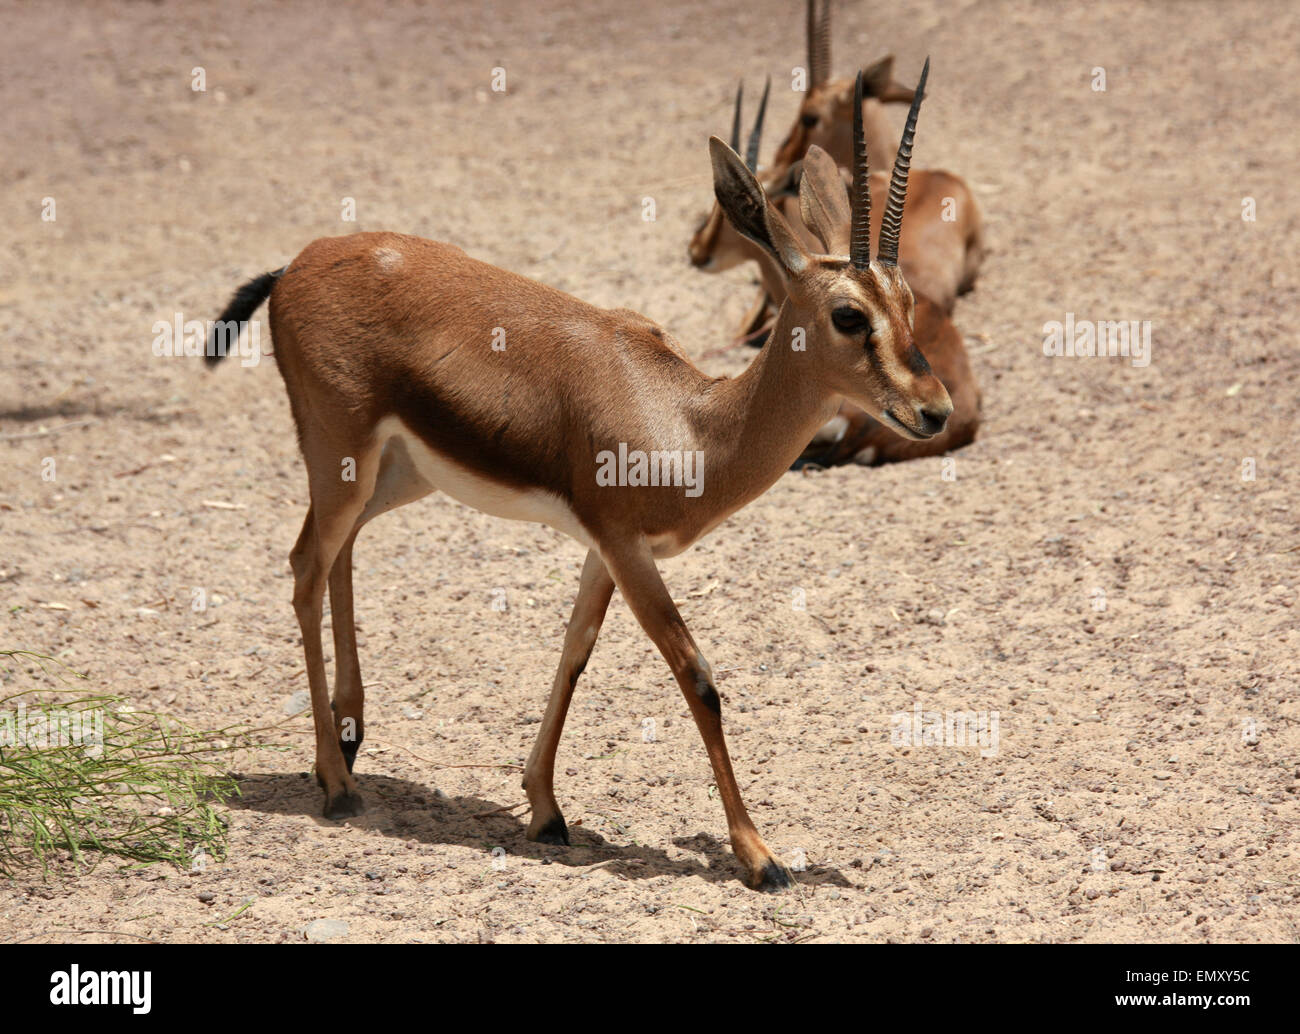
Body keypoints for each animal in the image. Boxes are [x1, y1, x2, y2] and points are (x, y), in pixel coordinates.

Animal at [204, 65, 950, 891]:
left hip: (390, 476)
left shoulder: (603, 550)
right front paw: (759, 856)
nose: (935, 410)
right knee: (307, 565)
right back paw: (337, 784)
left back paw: (350, 739)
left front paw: (545, 809)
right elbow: (697, 676)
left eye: (907, 303)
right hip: (343, 458)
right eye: (850, 316)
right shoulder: (628, 549)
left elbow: (575, 654)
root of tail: (297, 263)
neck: (691, 423)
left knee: (342, 554)